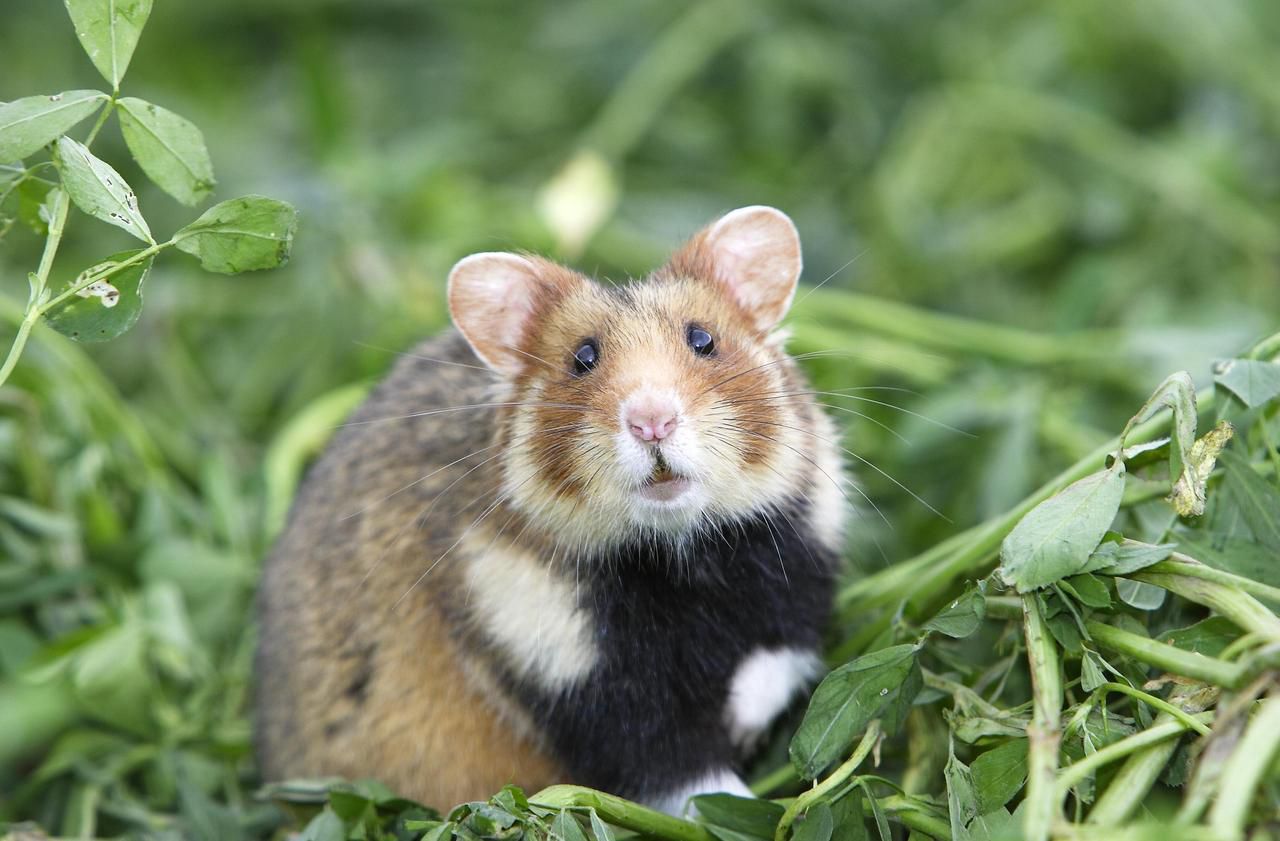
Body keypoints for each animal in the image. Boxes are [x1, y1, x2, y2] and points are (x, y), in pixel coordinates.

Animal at [254, 206, 848, 813]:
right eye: (582, 358)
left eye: (703, 339)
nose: (652, 422)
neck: (676, 551)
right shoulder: (570, 668)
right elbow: (684, 775)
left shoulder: (800, 570)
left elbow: (778, 660)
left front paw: (742, 724)